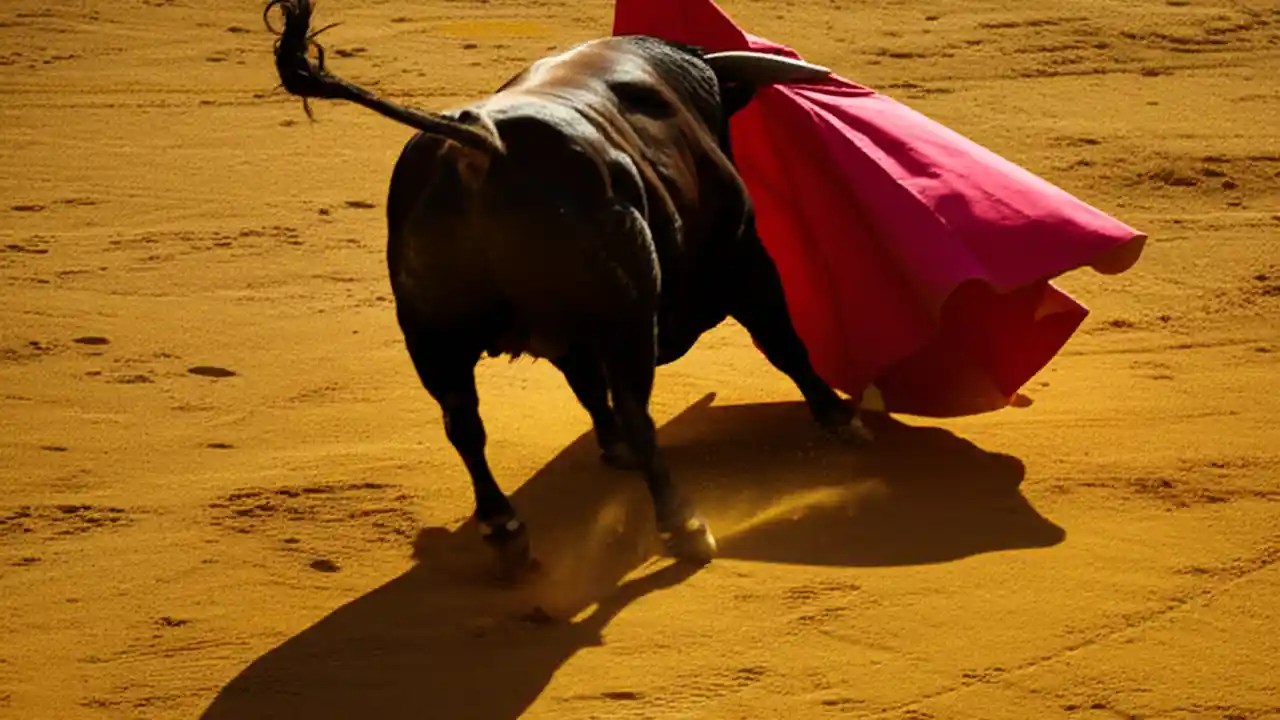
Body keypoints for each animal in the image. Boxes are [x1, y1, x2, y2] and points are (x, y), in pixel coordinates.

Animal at [264, 0, 874, 579]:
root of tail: (480, 147)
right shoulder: (743, 253)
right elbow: (784, 341)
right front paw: (840, 420)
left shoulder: (564, 336)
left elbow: (584, 388)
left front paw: (610, 447)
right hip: (625, 315)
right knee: (635, 409)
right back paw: (684, 526)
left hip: (433, 337)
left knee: (465, 425)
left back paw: (506, 530)